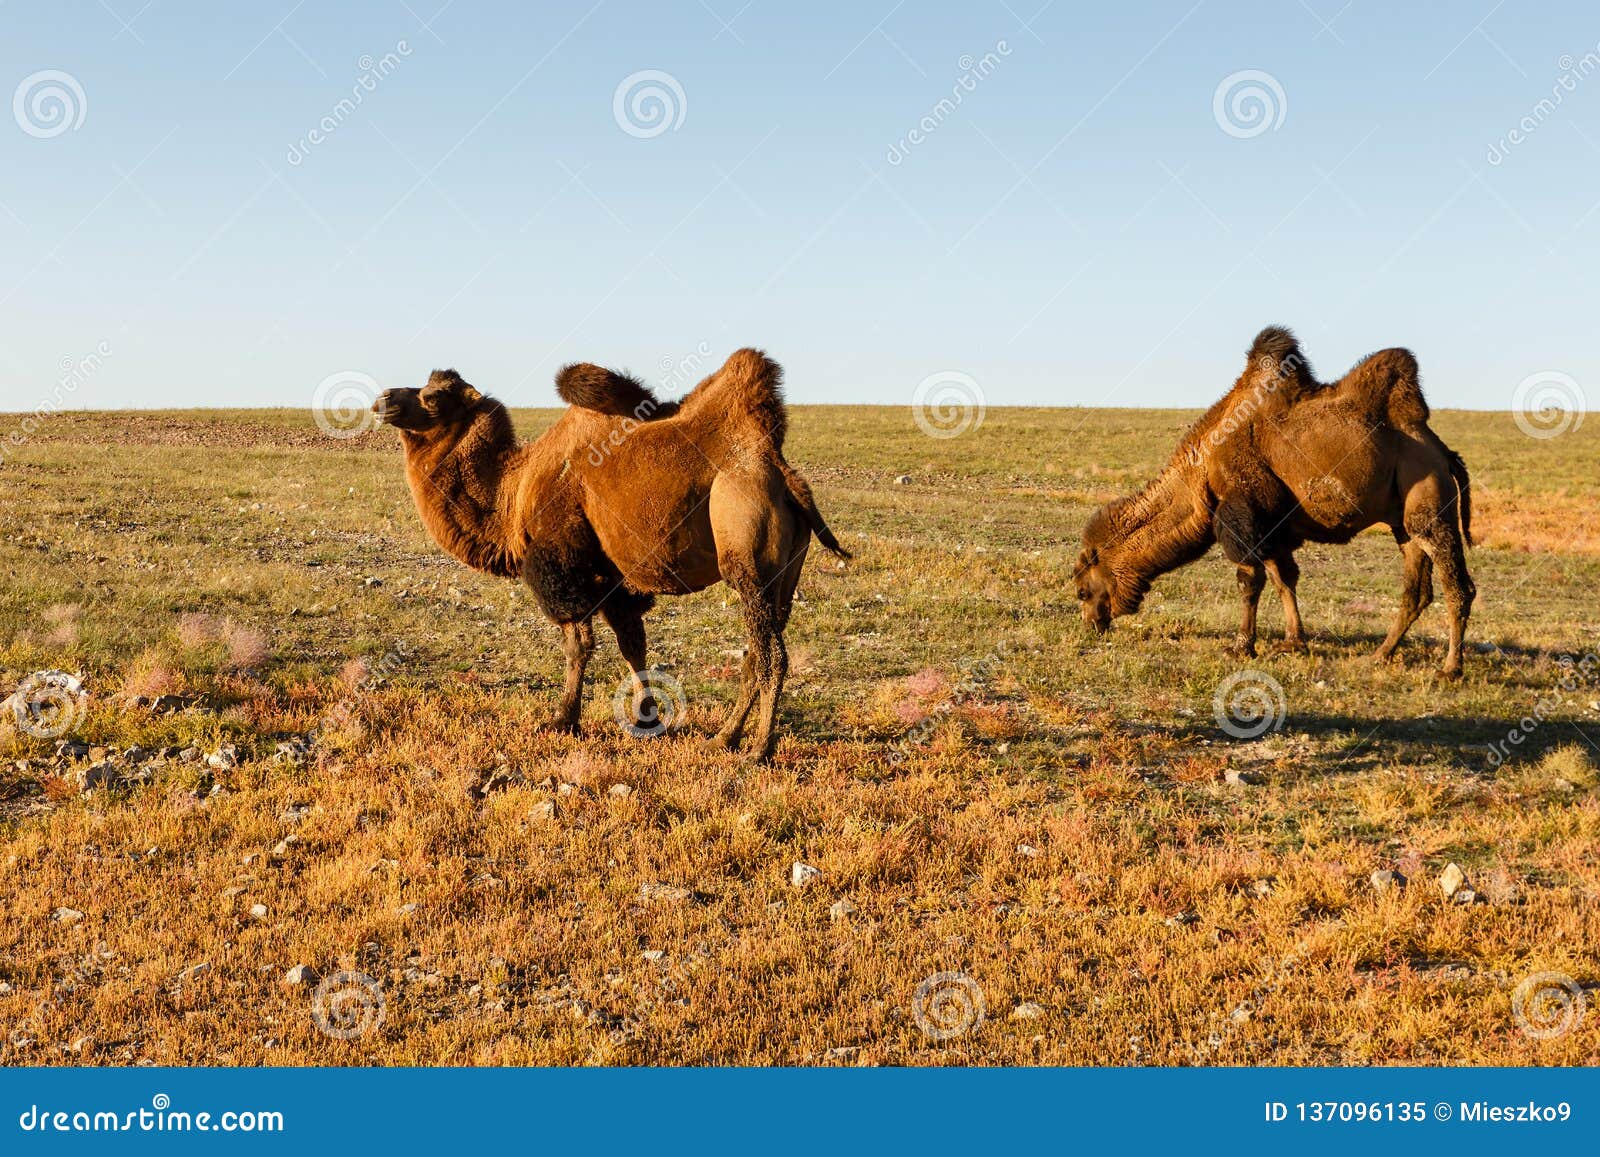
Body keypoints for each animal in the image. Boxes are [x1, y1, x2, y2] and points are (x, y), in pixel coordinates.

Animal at [375, 348, 849, 760]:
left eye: (434, 396)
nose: (384, 400)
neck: (514, 489)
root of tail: (783, 473)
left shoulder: (563, 565)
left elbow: (578, 646)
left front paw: (563, 720)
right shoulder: (614, 577)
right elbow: (631, 644)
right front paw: (647, 719)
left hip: (745, 551)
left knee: (771, 655)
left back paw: (757, 750)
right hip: (785, 574)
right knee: (757, 652)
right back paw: (723, 738)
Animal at [1073, 326, 1476, 676]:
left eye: (1082, 591)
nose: (1092, 623)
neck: (1200, 470)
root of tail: (1443, 454)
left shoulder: (1242, 509)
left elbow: (1249, 580)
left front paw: (1241, 646)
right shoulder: (1270, 524)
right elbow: (1284, 579)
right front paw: (1293, 641)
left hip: (1429, 500)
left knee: (1457, 586)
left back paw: (1449, 669)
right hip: (1402, 521)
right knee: (1416, 590)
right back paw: (1380, 655)